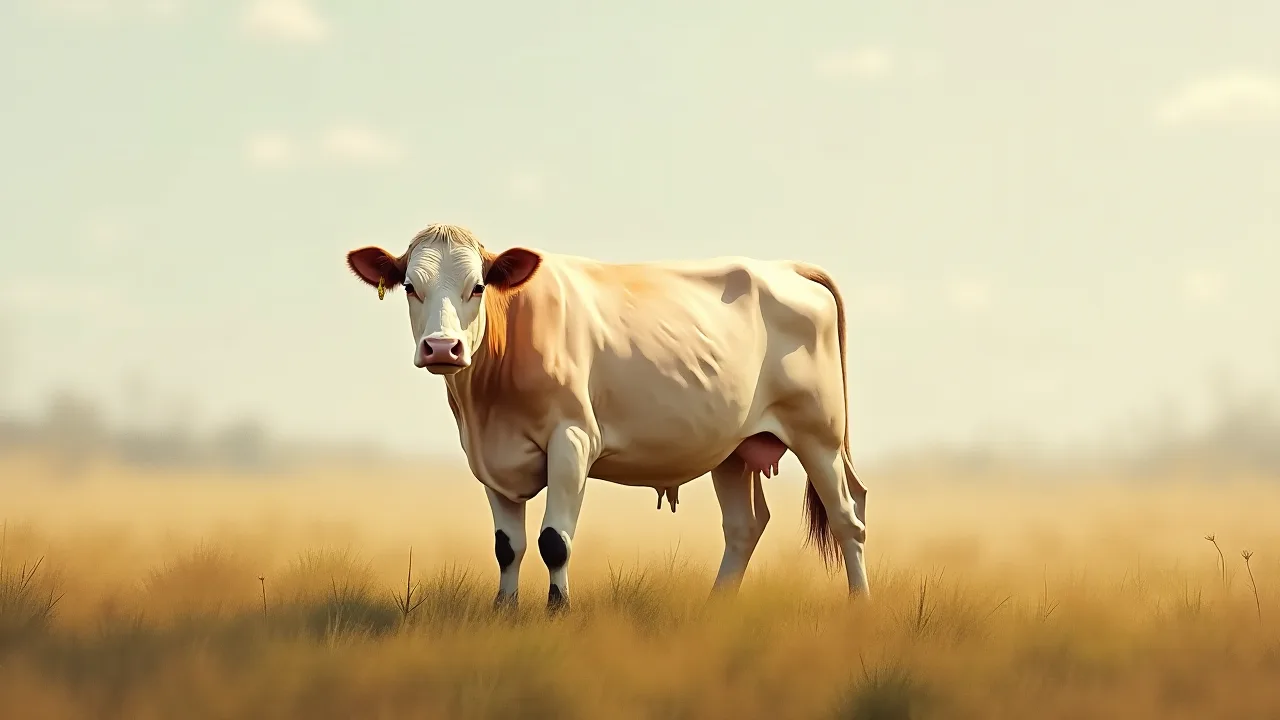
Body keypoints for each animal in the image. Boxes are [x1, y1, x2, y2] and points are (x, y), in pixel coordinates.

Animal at [346, 223, 869, 611]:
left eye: (477, 286)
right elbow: (507, 546)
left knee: (847, 518)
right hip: (733, 449)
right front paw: (505, 612)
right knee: (746, 525)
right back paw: (716, 609)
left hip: (818, 433)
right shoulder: (489, 458)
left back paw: (858, 605)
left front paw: (557, 612)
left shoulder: (573, 439)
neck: (488, 405)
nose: (442, 347)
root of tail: (785, 267)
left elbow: (554, 540)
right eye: (409, 287)